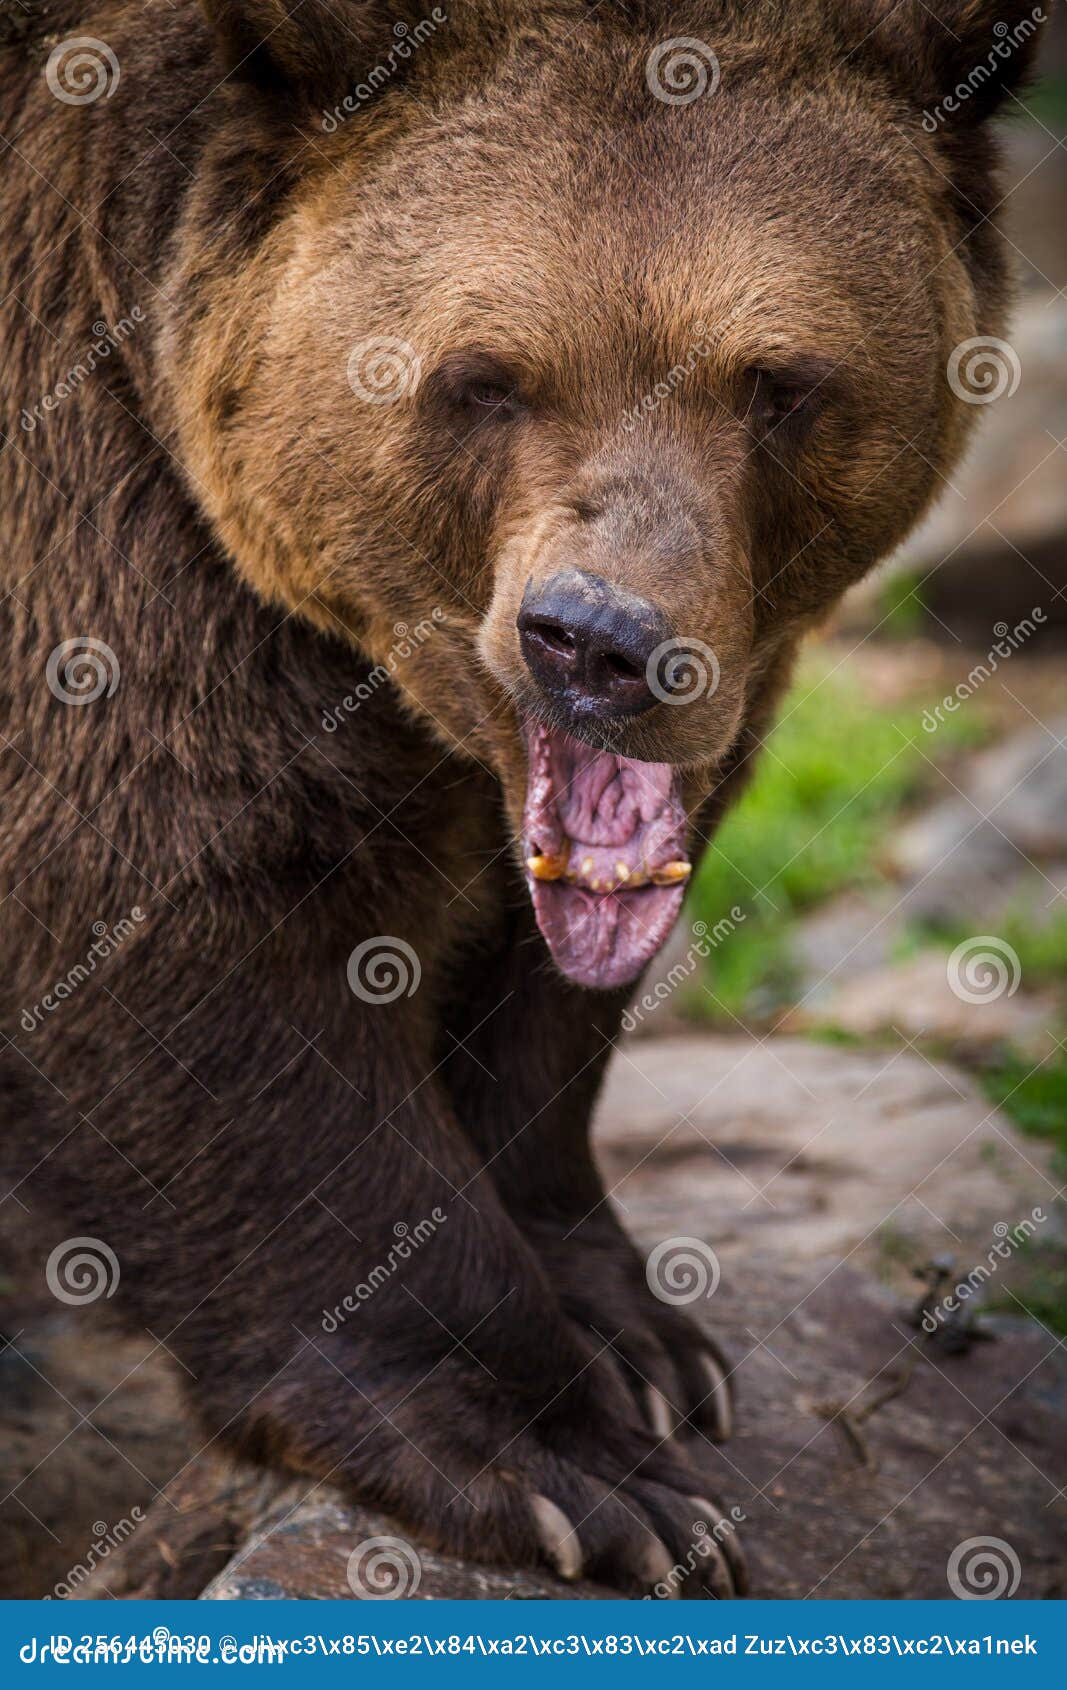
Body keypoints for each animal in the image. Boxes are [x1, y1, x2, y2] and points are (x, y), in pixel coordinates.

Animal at [0, 0, 1044, 1597]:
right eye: (483, 376)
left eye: (779, 381)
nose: (597, 643)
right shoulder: (103, 532)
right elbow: (165, 918)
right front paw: (580, 1471)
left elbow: (542, 988)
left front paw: (643, 1339)